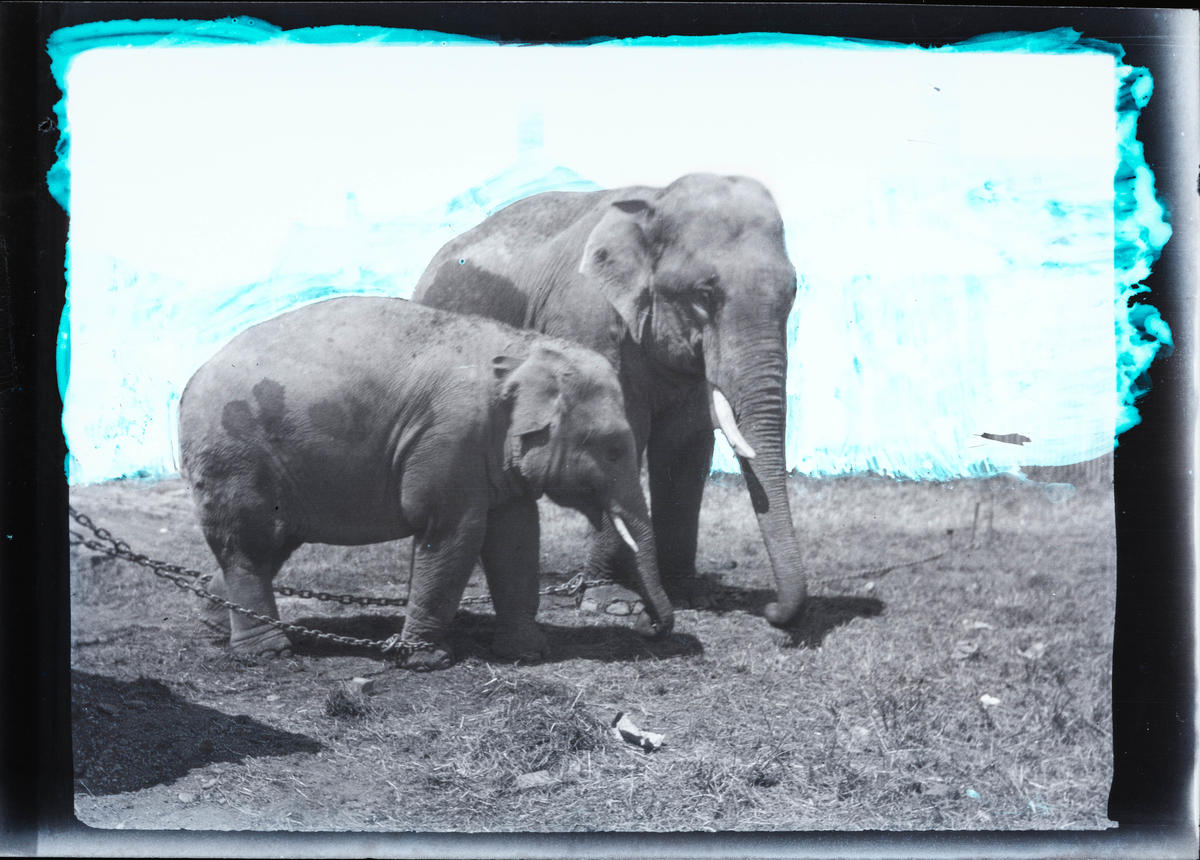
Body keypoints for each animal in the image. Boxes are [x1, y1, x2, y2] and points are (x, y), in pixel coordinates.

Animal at [178, 296, 674, 670]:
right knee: (249, 546)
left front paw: (527, 653)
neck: (524, 348)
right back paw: (267, 653)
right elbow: (452, 530)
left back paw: (212, 622)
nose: (648, 625)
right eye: (613, 448)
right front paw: (425, 662)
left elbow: (515, 537)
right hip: (233, 457)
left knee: (271, 544)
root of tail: (190, 380)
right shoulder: (450, 436)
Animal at [414, 173, 806, 627]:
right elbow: (617, 435)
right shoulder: (588, 321)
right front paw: (613, 603)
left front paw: (691, 594)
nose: (771, 609)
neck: (655, 202)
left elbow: (686, 446)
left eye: (794, 291)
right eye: (704, 293)